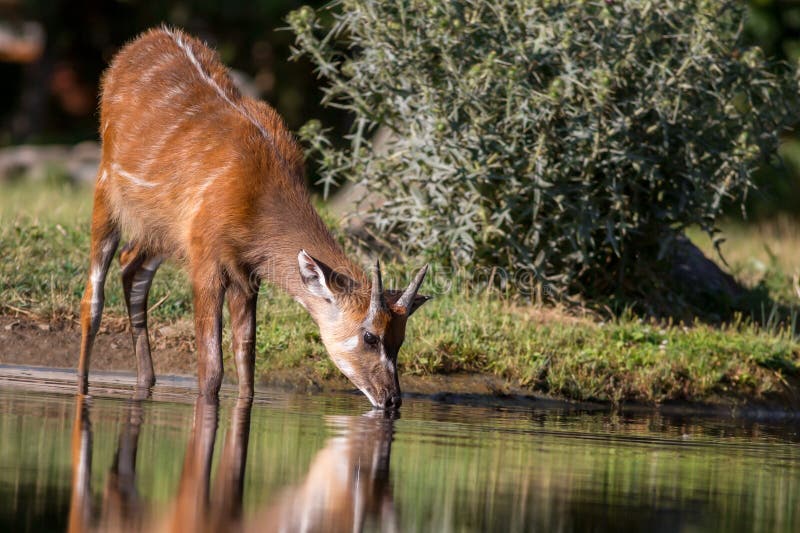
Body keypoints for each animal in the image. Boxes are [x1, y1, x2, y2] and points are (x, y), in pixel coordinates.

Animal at [78, 27, 430, 408]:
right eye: (370, 336)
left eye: (400, 339)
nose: (392, 398)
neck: (256, 202)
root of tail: (138, 44)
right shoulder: (206, 258)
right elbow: (211, 367)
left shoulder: (246, 272)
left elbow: (246, 359)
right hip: (106, 186)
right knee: (92, 299)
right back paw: (83, 385)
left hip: (163, 228)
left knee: (132, 264)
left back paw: (146, 382)